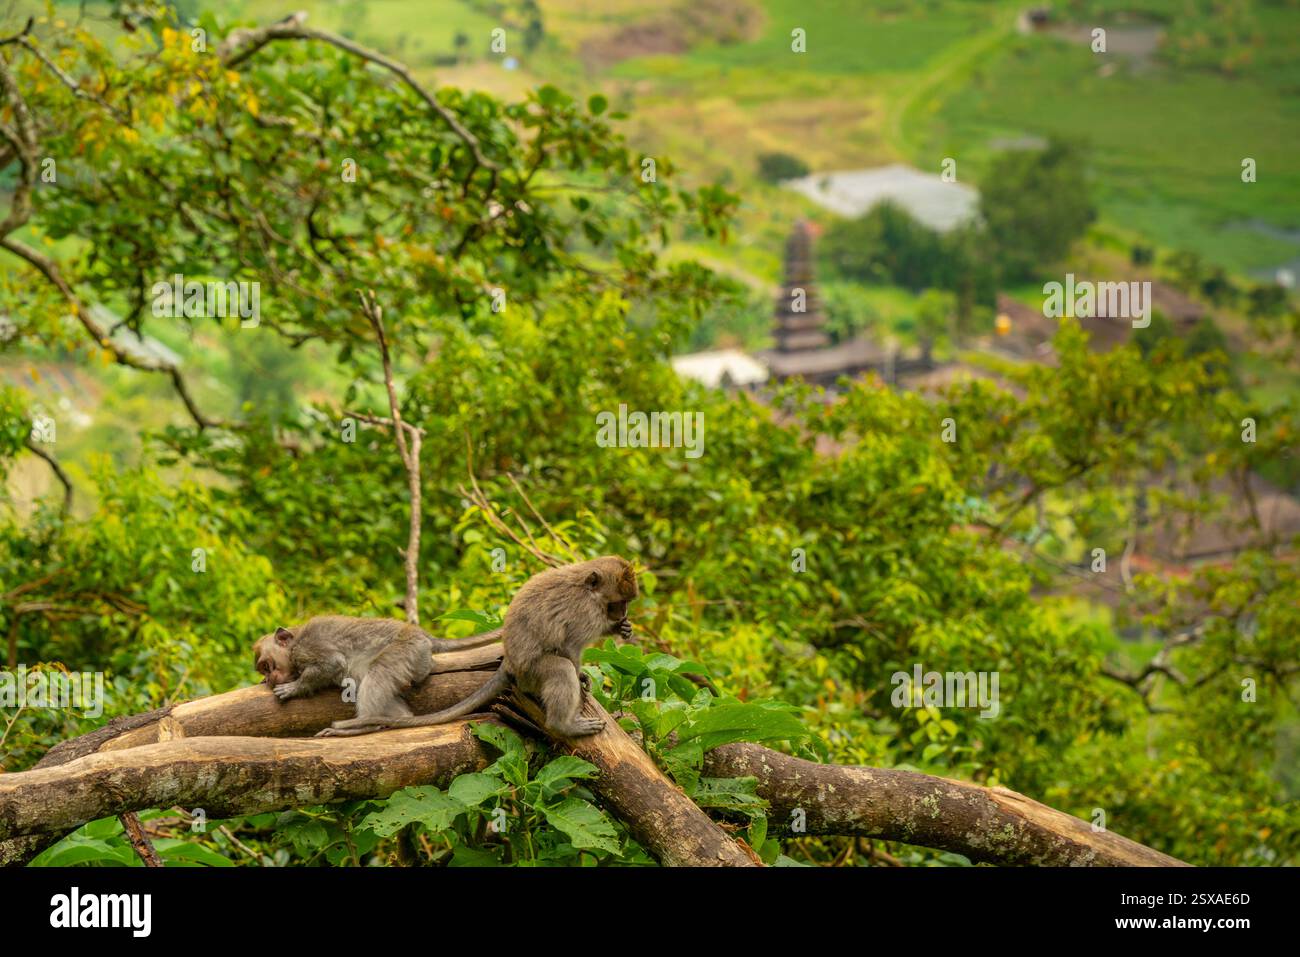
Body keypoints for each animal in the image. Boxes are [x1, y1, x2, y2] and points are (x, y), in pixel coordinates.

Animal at [252, 616, 504, 726]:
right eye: (263, 671)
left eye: (267, 666)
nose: (268, 679)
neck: (294, 642)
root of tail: (424, 635)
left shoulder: (307, 648)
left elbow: (333, 663)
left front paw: (294, 688)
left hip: (408, 649)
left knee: (379, 671)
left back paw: (362, 724)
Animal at [315, 556, 637, 739]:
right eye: (618, 601)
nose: (622, 614)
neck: (588, 589)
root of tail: (509, 663)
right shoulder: (585, 613)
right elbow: (570, 648)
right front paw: (581, 675)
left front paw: (620, 629)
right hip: (530, 673)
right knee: (558, 668)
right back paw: (563, 724)